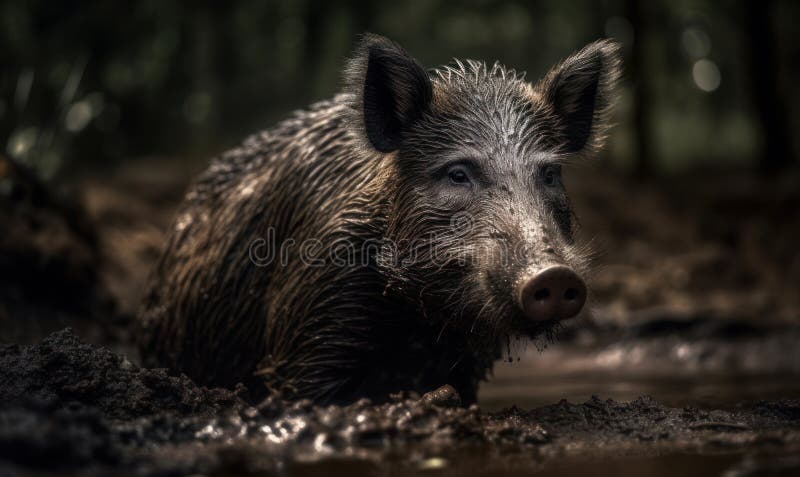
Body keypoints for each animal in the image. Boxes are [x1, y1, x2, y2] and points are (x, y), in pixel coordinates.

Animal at [138, 33, 621, 405]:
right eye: (458, 173)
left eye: (550, 173)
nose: (554, 275)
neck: (415, 320)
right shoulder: (307, 328)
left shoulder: (467, 364)